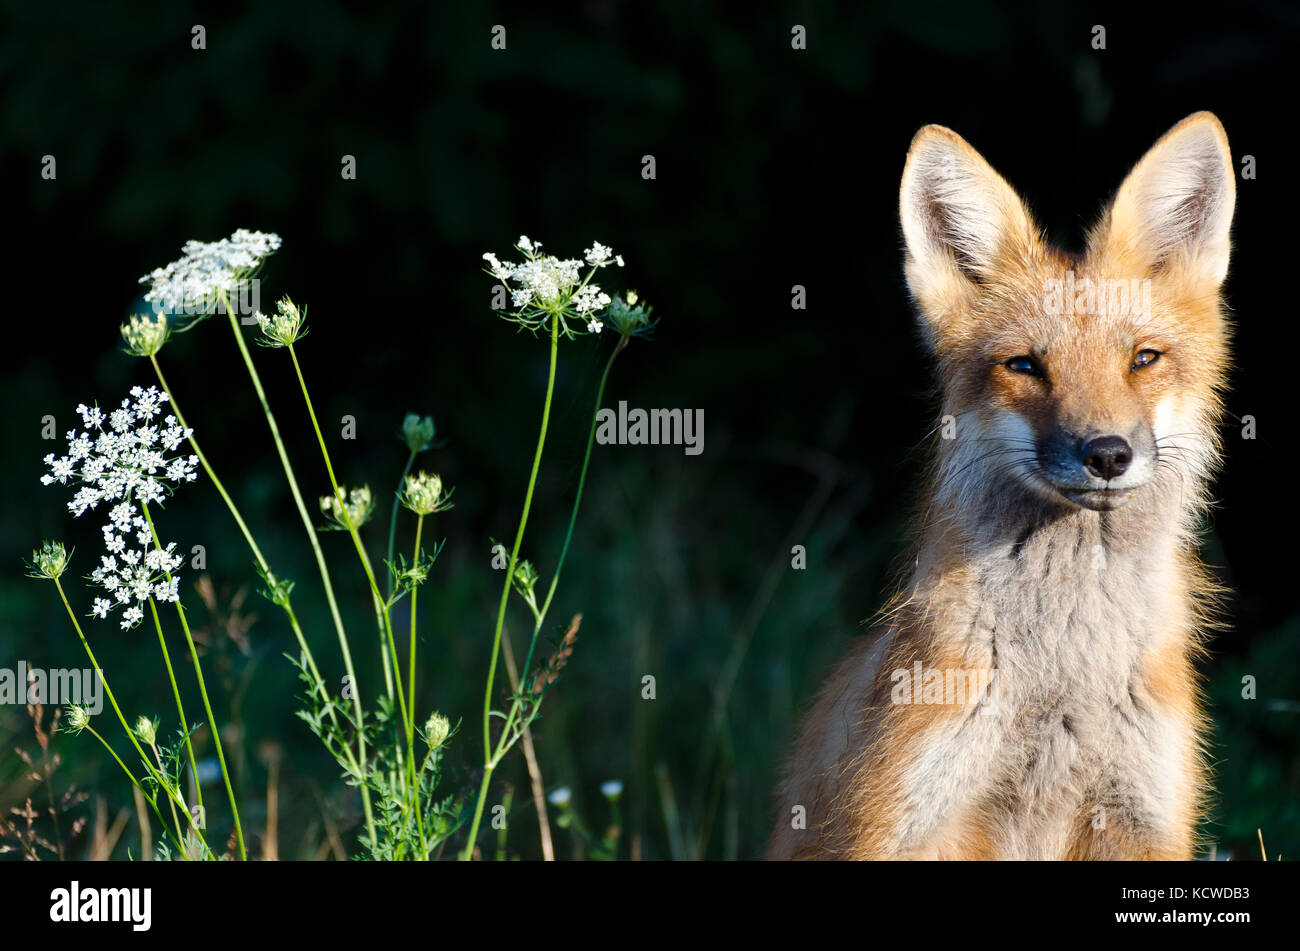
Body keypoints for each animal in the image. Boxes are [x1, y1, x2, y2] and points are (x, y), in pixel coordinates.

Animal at [767, 112, 1236, 860]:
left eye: (1143, 359)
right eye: (1024, 365)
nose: (1108, 454)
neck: (1063, 684)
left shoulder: (1141, 819)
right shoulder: (908, 816)